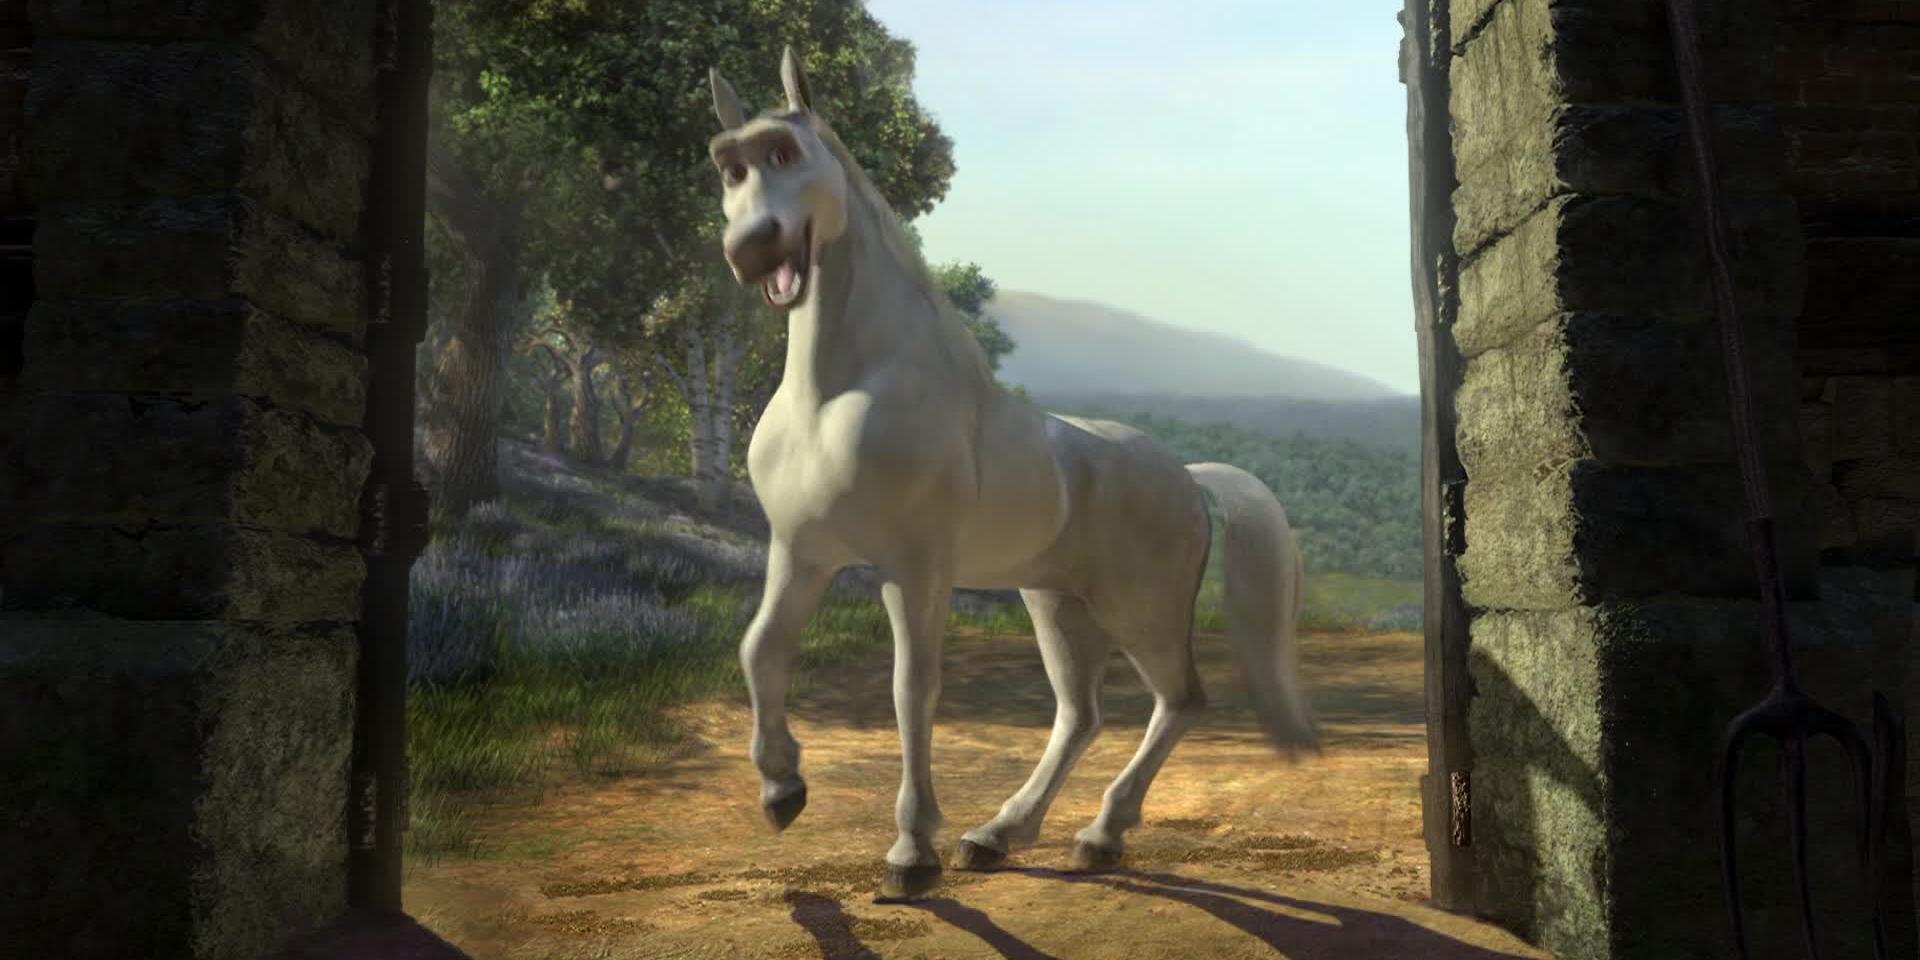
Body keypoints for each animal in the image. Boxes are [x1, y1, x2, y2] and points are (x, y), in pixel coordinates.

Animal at [706, 47, 1319, 902]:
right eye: (729, 167)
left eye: (789, 153)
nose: (751, 250)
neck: (836, 394)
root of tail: (1190, 478)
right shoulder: (804, 553)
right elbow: (759, 651)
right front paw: (781, 792)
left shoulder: (914, 569)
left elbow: (912, 691)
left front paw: (909, 854)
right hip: (1057, 604)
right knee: (1082, 715)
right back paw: (998, 836)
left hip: (1139, 608)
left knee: (1178, 700)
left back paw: (1098, 836)